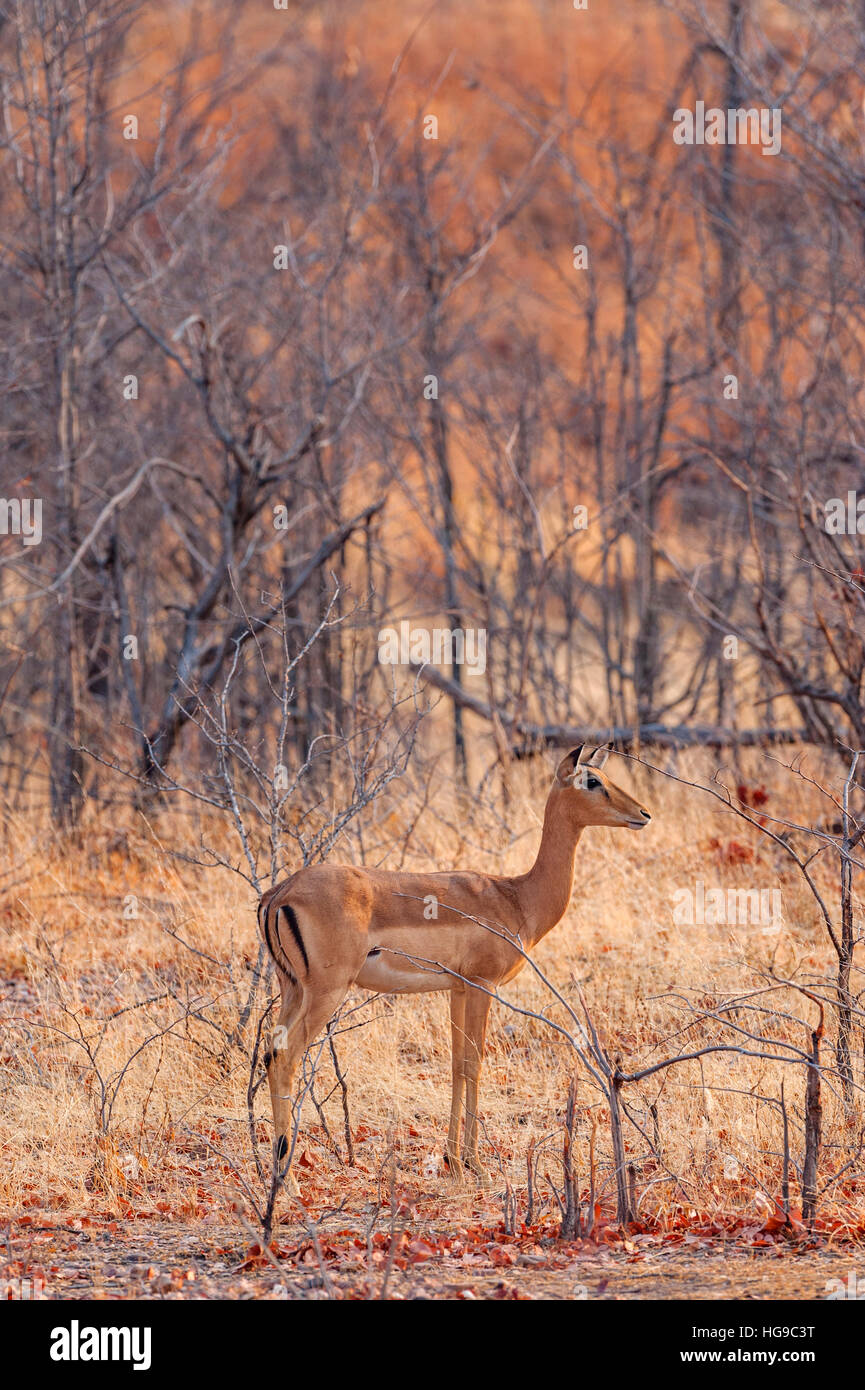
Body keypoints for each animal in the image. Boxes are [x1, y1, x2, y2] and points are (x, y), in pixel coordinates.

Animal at [257, 744, 651, 1186]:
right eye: (592, 781)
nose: (643, 813)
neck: (517, 897)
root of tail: (279, 894)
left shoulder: (457, 989)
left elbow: (456, 1065)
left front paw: (454, 1163)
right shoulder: (483, 985)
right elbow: (475, 1063)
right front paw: (476, 1166)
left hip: (292, 989)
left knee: (270, 1052)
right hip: (327, 992)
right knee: (286, 1056)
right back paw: (287, 1180)